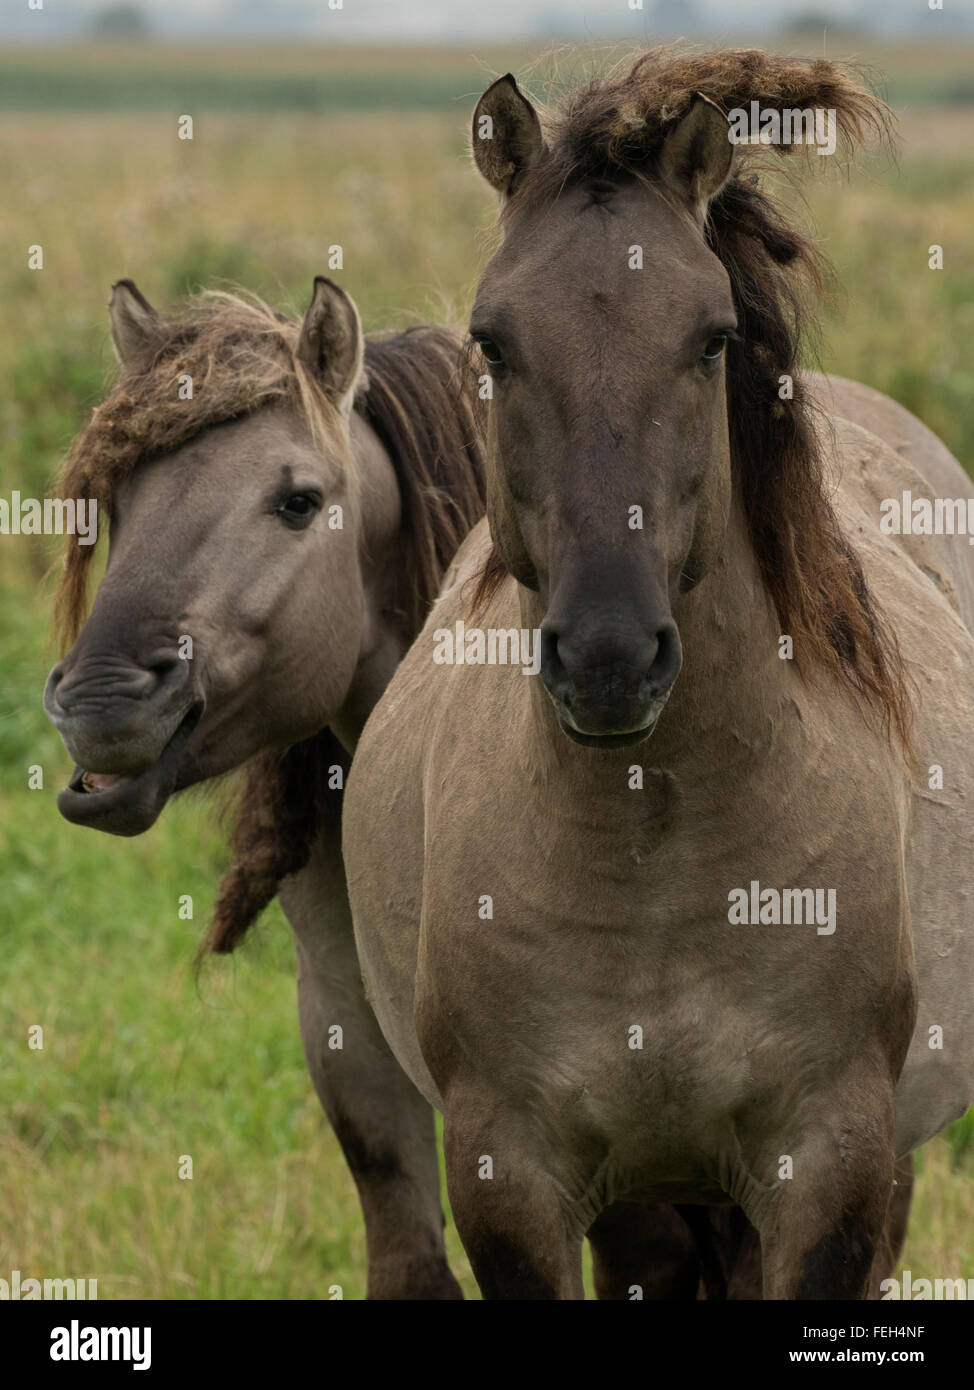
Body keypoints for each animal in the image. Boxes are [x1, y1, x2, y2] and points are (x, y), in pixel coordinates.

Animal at [343, 50, 974, 1298]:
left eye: (712, 338)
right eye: (492, 341)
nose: (607, 656)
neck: (652, 854)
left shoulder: (830, 1161)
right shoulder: (510, 1175)